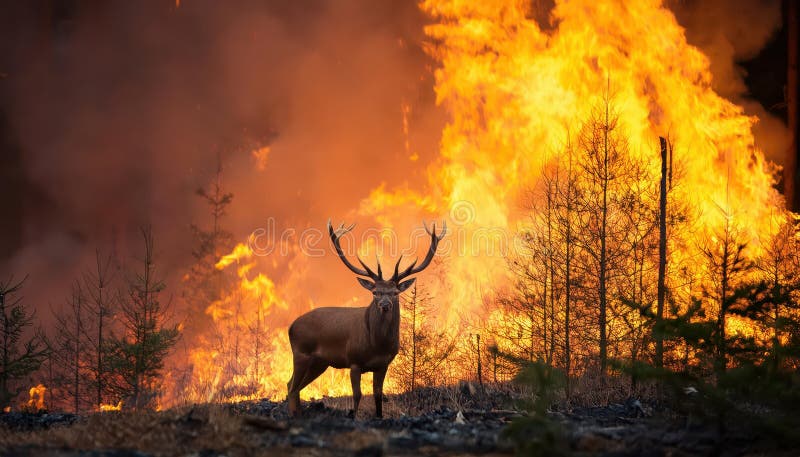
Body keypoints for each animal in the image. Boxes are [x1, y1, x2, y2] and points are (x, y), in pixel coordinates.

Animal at [286, 219, 446, 419]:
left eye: (395, 293)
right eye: (375, 292)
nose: (385, 305)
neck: (377, 344)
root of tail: (291, 326)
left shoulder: (383, 364)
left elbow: (378, 394)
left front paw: (379, 416)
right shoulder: (354, 361)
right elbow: (358, 394)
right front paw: (353, 416)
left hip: (319, 362)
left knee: (292, 385)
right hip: (301, 352)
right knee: (292, 387)